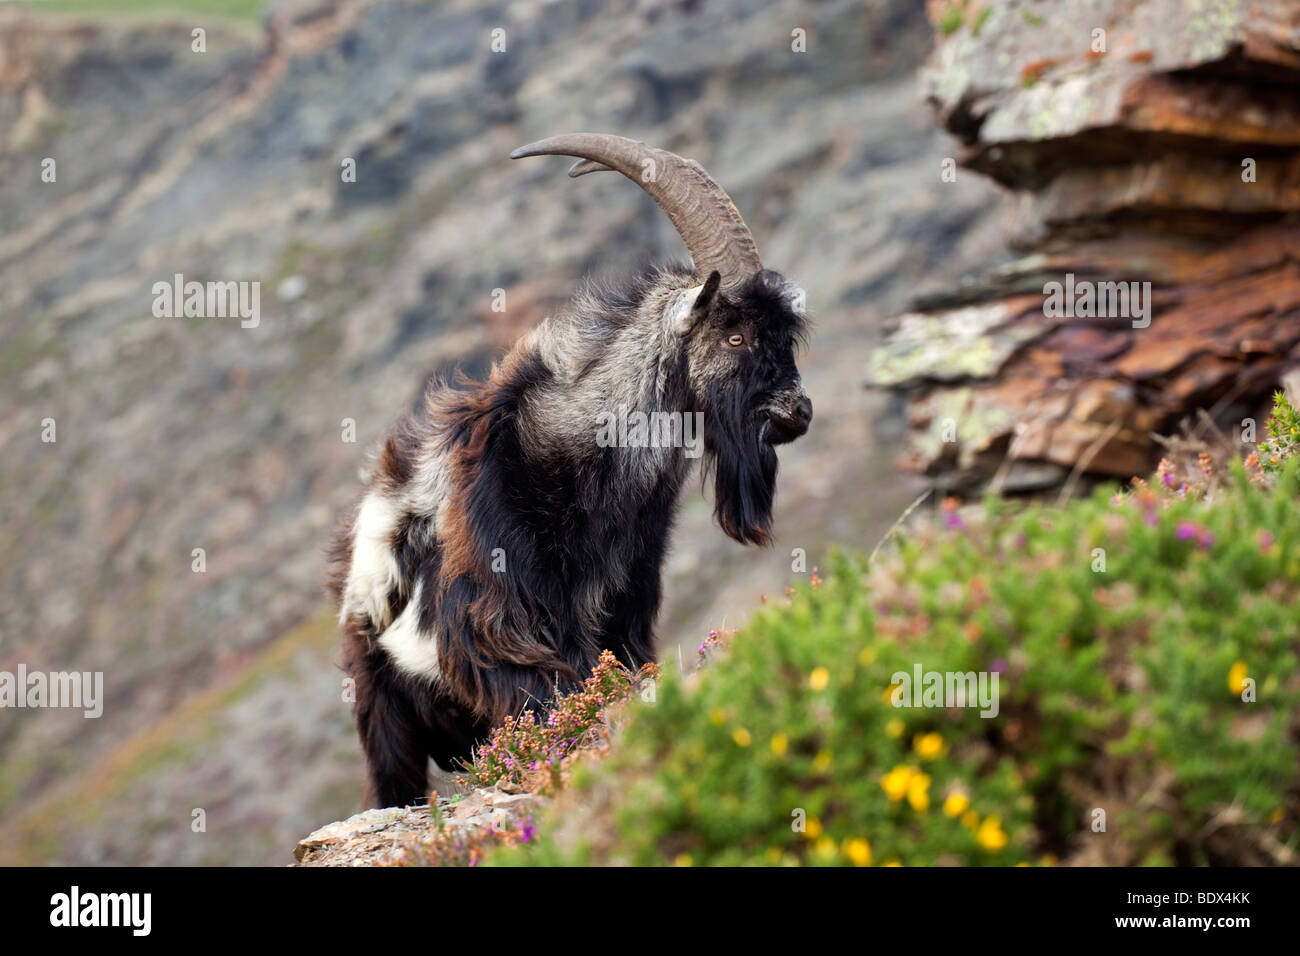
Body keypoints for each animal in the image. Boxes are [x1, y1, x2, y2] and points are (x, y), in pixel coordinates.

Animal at [327, 133, 812, 808]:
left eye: (784, 335)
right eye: (735, 334)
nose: (799, 412)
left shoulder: (626, 608)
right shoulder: (495, 626)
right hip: (381, 702)